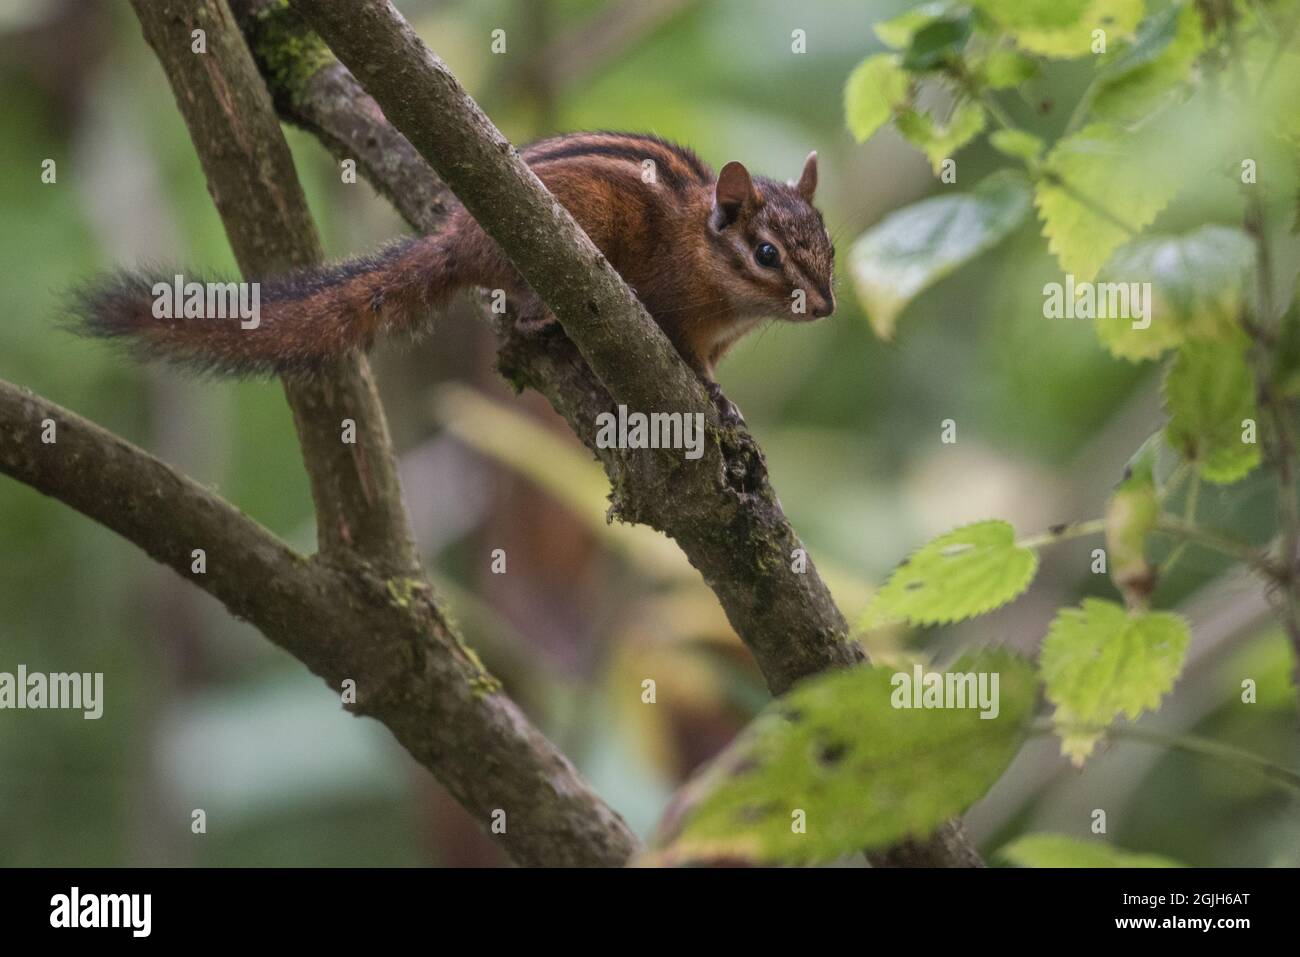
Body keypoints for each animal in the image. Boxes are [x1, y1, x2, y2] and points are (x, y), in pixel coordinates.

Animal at [73, 132, 836, 391]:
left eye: (828, 247)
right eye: (766, 253)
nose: (828, 307)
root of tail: (457, 240)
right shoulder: (679, 311)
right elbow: (689, 356)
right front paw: (712, 394)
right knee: (523, 315)